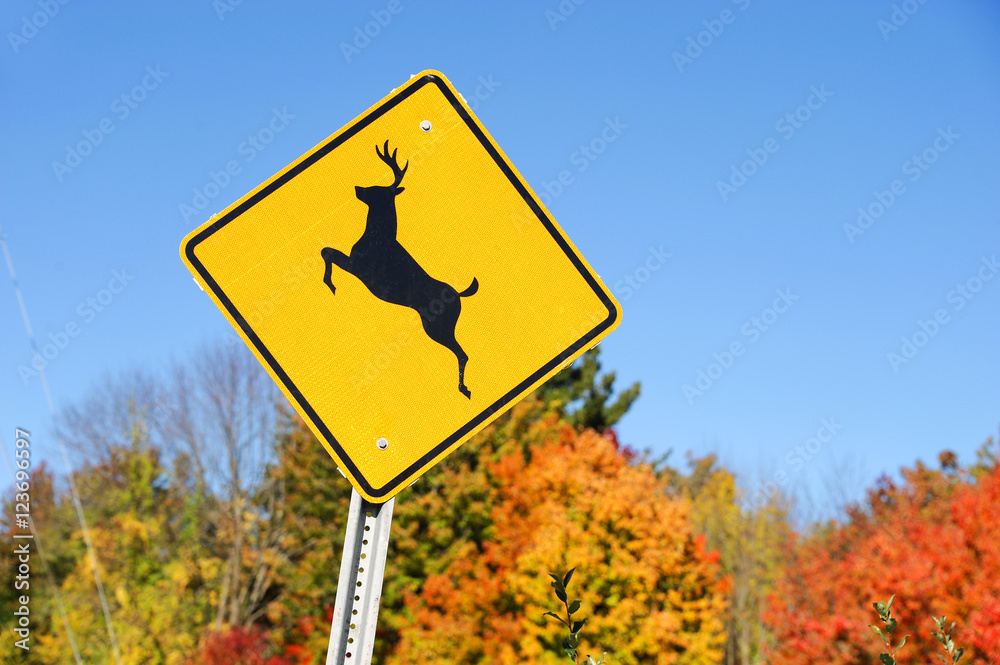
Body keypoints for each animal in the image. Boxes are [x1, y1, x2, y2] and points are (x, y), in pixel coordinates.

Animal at [321, 141, 478, 399]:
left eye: (376, 190)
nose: (357, 188)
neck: (377, 236)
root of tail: (459, 295)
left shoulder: (359, 267)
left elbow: (327, 252)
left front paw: (330, 284)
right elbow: (327, 251)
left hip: (437, 325)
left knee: (461, 352)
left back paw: (464, 389)